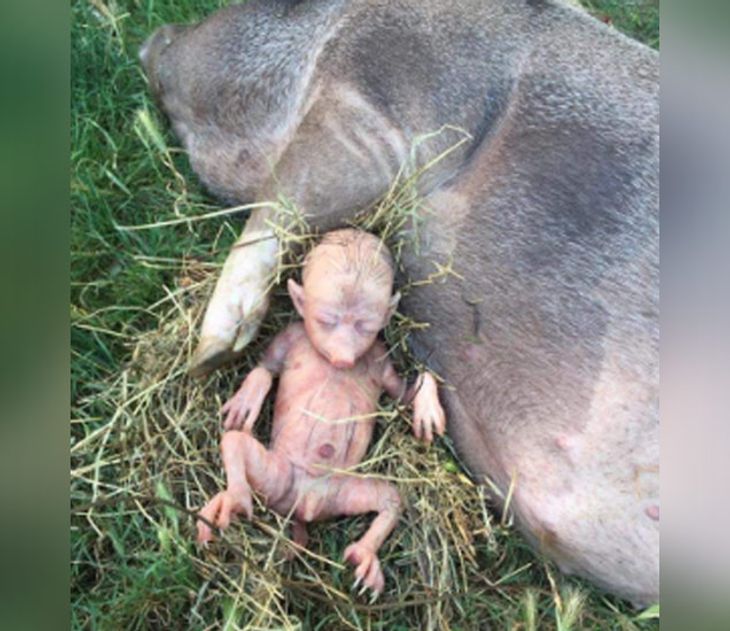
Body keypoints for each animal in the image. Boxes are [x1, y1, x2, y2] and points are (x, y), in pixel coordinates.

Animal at [196, 228, 447, 597]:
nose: (342, 358)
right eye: (325, 320)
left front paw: (427, 404)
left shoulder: (380, 355)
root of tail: (306, 507)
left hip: (342, 493)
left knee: (389, 497)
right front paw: (248, 397)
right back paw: (231, 500)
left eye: (365, 325)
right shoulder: (292, 331)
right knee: (235, 443)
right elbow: (267, 364)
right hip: (279, 476)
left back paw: (364, 558)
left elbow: (403, 393)